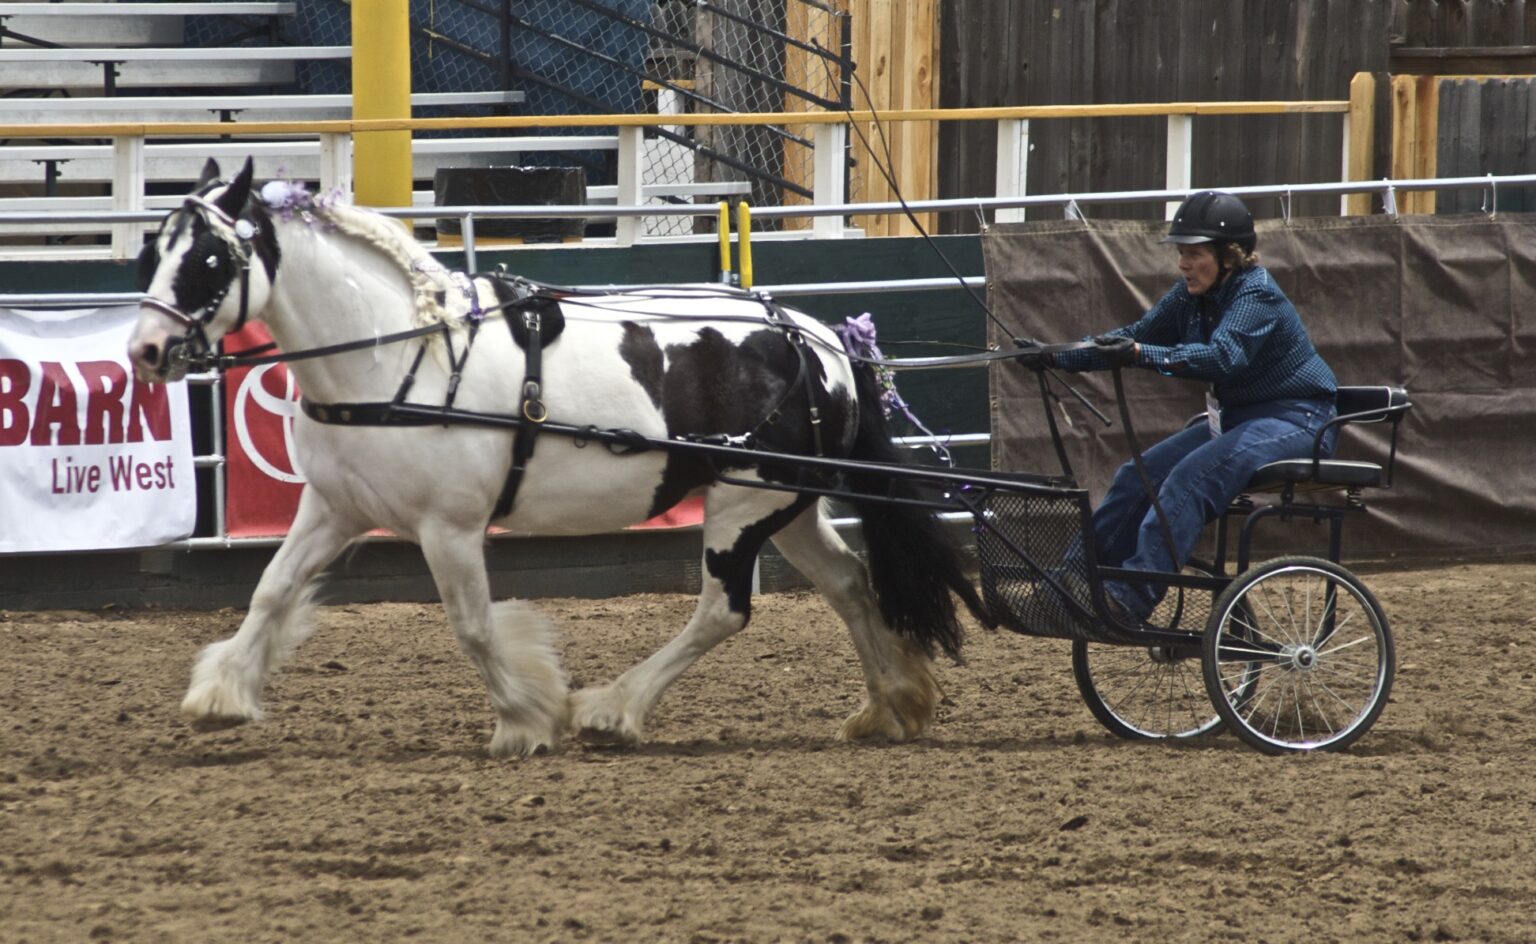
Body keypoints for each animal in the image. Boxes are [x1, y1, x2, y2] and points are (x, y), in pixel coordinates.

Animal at [127, 157, 992, 757]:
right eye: (150, 252)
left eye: (208, 261)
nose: (146, 351)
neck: (399, 354)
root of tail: (820, 341)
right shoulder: (334, 507)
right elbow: (271, 591)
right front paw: (223, 694)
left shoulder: (448, 527)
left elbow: (473, 626)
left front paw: (527, 717)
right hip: (789, 504)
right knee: (849, 583)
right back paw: (891, 702)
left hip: (744, 506)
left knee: (724, 611)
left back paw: (614, 709)